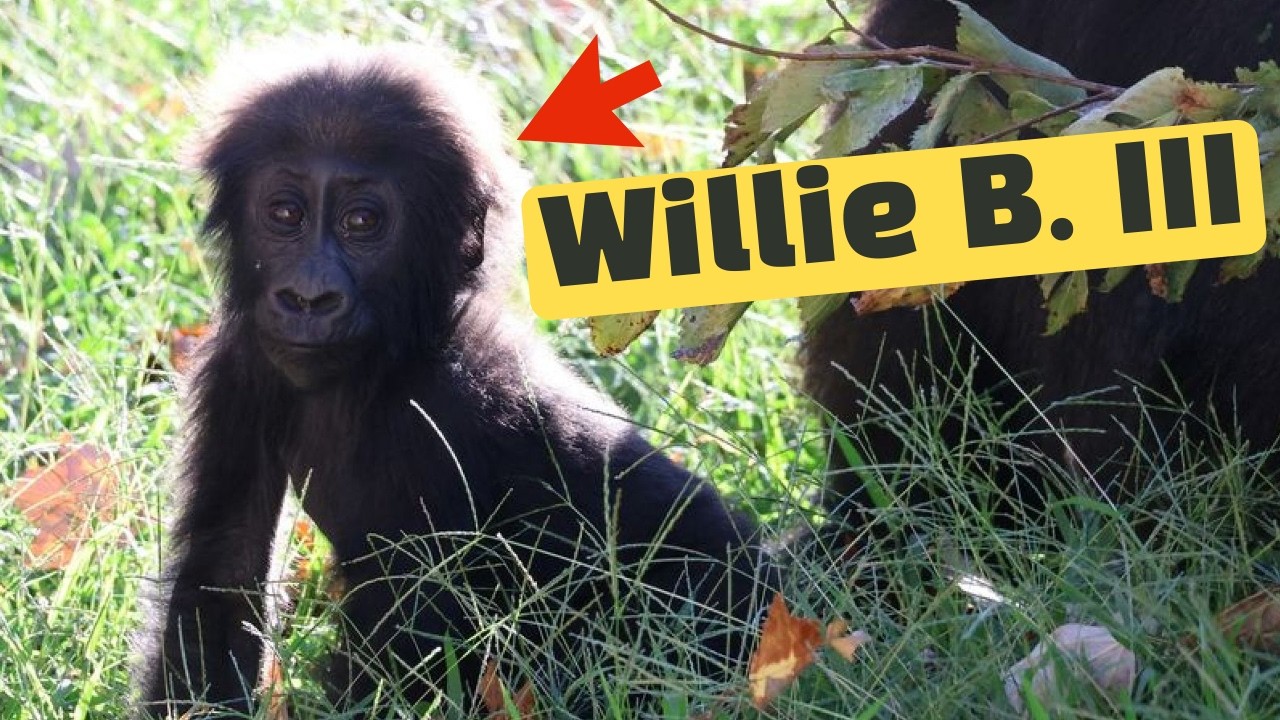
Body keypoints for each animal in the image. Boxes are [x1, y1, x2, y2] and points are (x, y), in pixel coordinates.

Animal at [136, 42, 769, 717]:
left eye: (362, 222)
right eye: (285, 213)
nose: (308, 297)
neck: (385, 365)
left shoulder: (460, 404)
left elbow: (414, 640)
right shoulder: (241, 365)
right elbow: (224, 571)